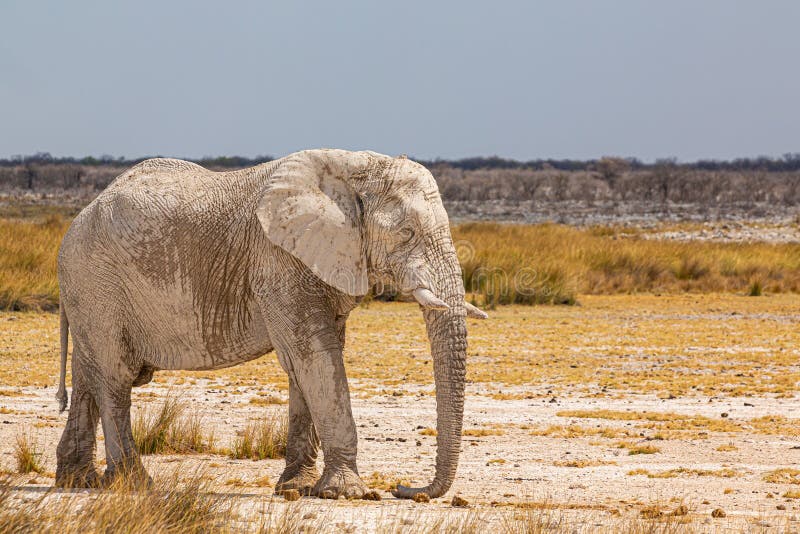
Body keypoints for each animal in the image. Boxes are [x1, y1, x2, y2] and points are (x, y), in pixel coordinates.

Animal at [53, 148, 487, 499]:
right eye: (407, 233)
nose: (405, 489)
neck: (354, 170)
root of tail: (75, 222)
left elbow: (306, 365)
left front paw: (296, 488)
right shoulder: (277, 262)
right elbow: (314, 356)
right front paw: (347, 493)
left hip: (89, 294)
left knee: (89, 374)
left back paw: (78, 481)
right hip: (97, 283)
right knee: (115, 377)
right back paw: (136, 484)